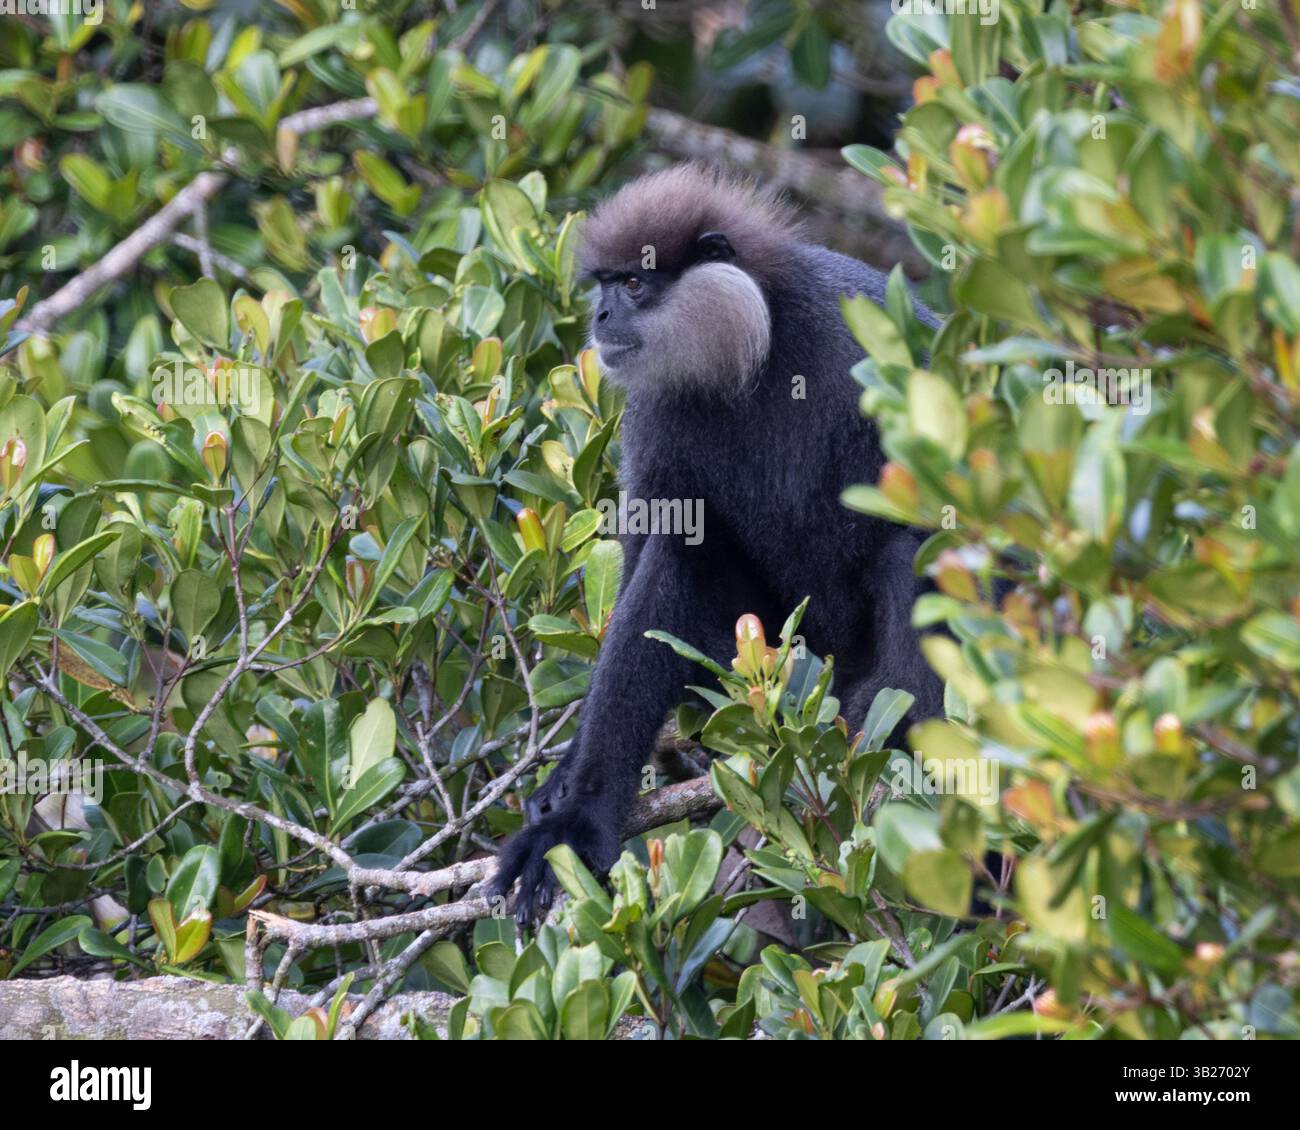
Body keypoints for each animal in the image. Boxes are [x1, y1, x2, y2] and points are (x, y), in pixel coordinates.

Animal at [490, 163, 944, 922]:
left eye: (634, 284)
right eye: (604, 285)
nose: (601, 318)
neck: (757, 352)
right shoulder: (654, 408)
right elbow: (652, 549)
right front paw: (567, 784)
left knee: (914, 549)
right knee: (685, 554)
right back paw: (581, 822)